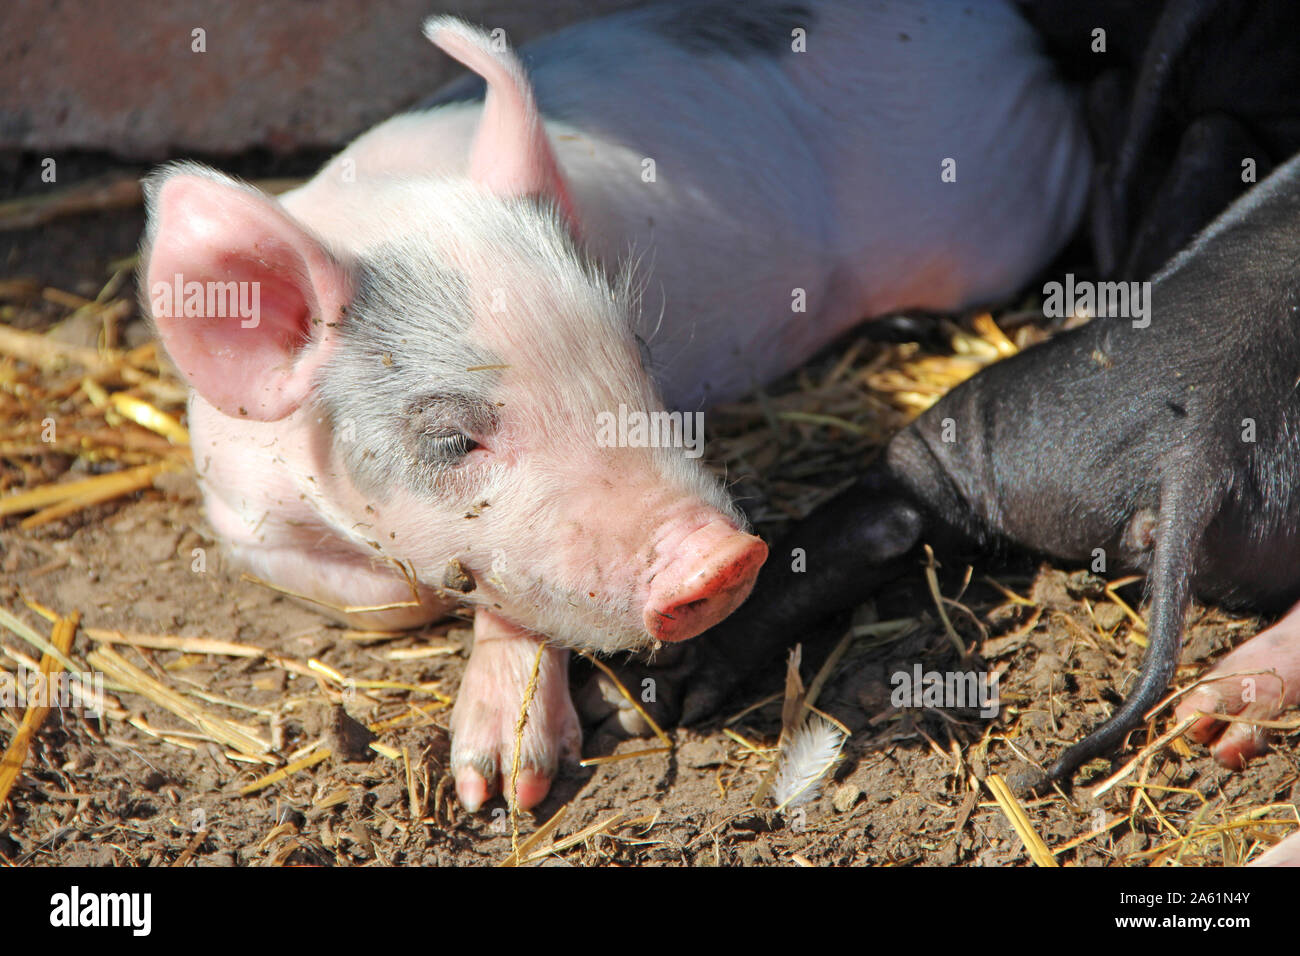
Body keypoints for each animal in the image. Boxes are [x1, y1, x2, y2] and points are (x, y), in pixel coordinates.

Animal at [141, 0, 1090, 810]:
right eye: (450, 440)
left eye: (635, 350)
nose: (721, 561)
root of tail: (1008, 34)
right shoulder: (235, 513)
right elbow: (394, 600)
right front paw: (491, 786)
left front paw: (507, 788)